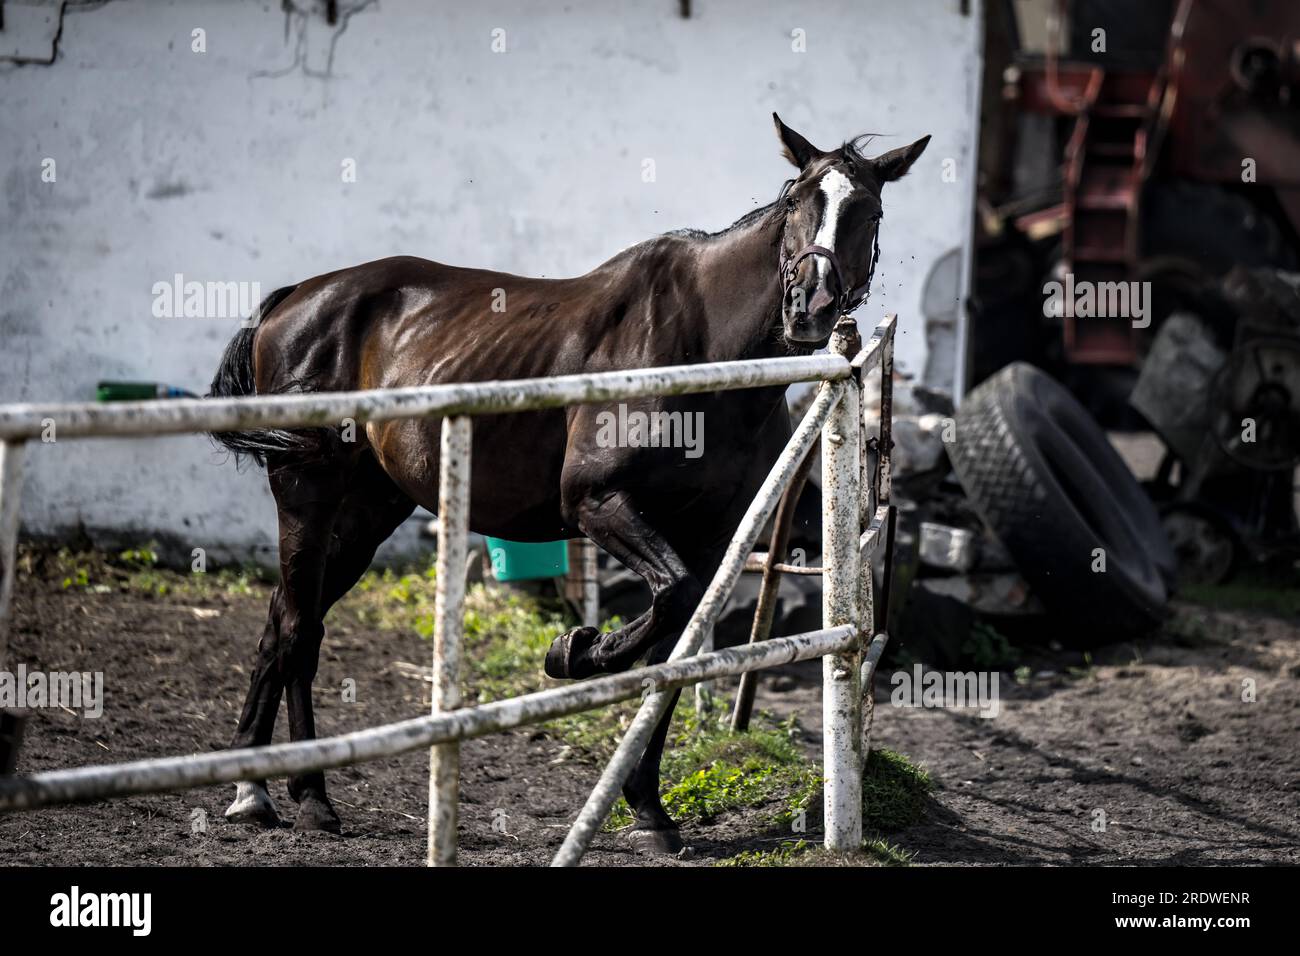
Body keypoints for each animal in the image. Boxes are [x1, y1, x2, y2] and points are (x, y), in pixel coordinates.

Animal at [208, 114, 928, 853]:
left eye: (868, 212)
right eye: (797, 203)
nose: (809, 306)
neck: (701, 350)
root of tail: (292, 300)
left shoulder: (707, 536)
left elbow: (672, 648)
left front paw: (649, 805)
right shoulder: (596, 503)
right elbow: (666, 603)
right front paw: (576, 650)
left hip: (367, 512)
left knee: (290, 624)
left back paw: (269, 789)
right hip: (308, 494)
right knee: (297, 628)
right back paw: (292, 796)